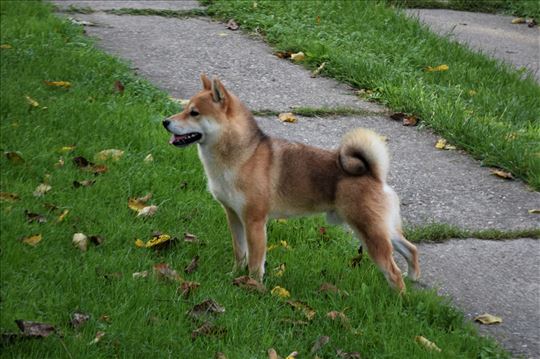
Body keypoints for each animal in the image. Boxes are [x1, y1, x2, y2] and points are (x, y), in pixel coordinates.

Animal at [162, 75, 420, 292]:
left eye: (194, 113)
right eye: (185, 109)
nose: (165, 121)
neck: (243, 155)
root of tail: (375, 175)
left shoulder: (255, 221)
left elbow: (255, 262)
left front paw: (253, 286)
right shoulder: (233, 216)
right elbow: (239, 252)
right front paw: (234, 275)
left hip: (370, 232)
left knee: (393, 271)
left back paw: (399, 298)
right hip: (381, 229)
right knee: (411, 248)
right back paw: (413, 278)